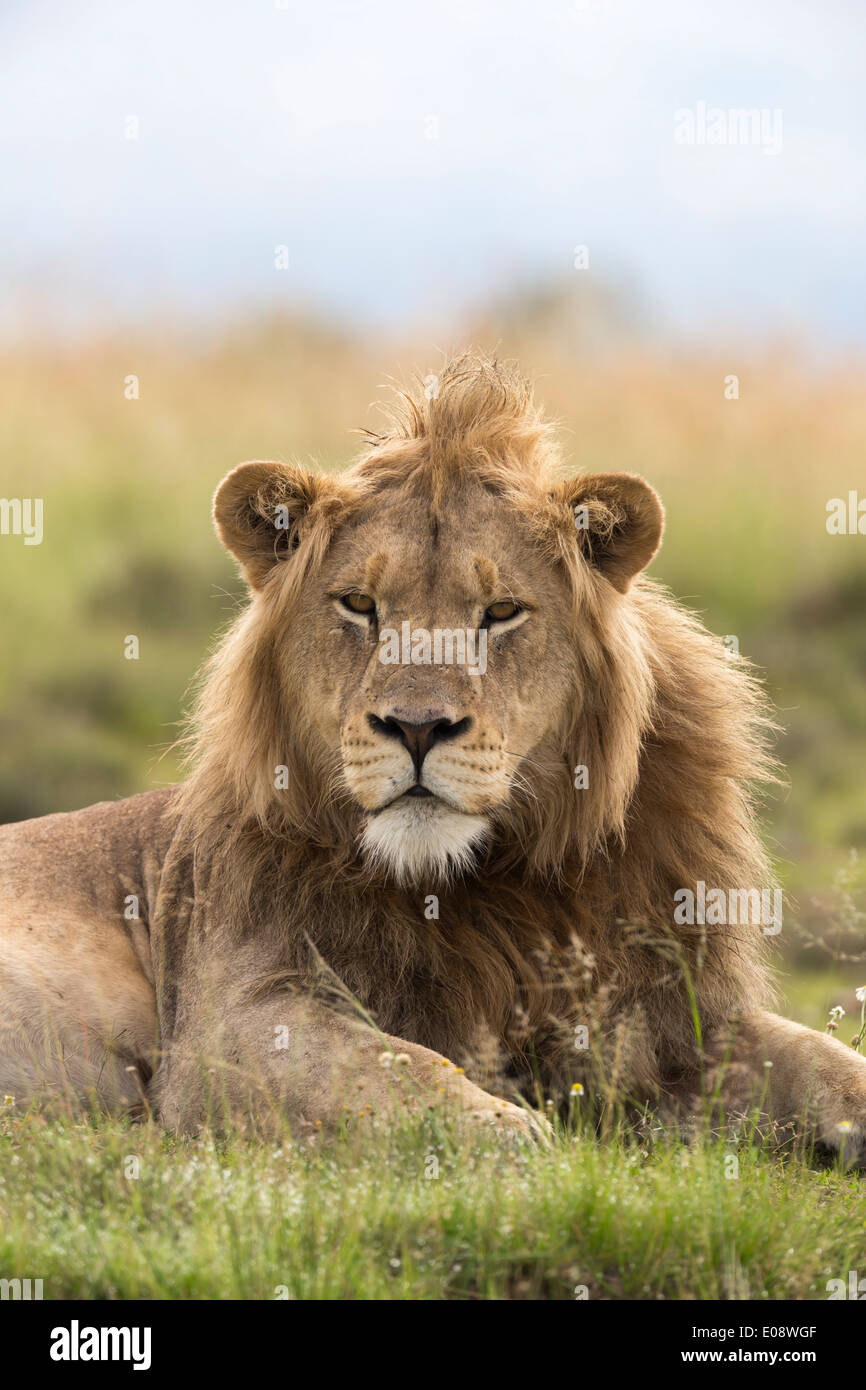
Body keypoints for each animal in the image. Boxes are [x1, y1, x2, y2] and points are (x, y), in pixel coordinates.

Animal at [2, 351, 865, 1154]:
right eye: (359, 604)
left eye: (503, 611)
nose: (417, 728)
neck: (496, 886)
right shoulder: (222, 1027)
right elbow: (395, 1067)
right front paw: (514, 1142)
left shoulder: (663, 1016)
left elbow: (818, 1057)